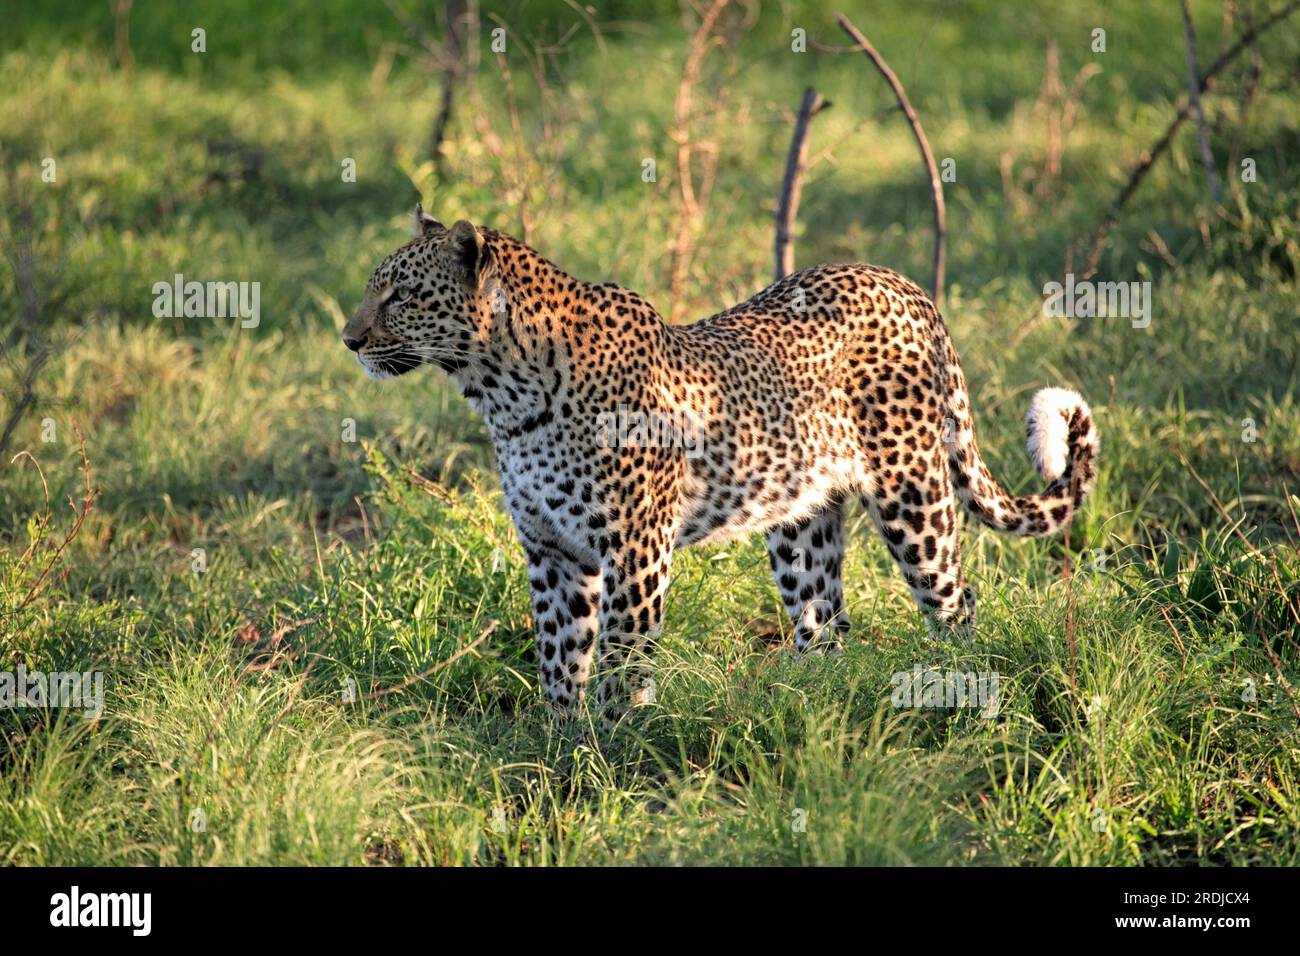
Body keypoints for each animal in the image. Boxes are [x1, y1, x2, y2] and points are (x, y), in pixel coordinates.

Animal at [343, 207, 1099, 719]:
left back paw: (962, 691)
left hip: (913, 496)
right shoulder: (552, 552)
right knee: (827, 625)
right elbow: (559, 660)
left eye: (401, 295)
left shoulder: (634, 549)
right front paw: (558, 748)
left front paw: (614, 752)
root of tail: (904, 283)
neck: (502, 393)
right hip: (801, 525)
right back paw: (810, 707)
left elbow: (620, 659)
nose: (347, 339)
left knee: (956, 601)